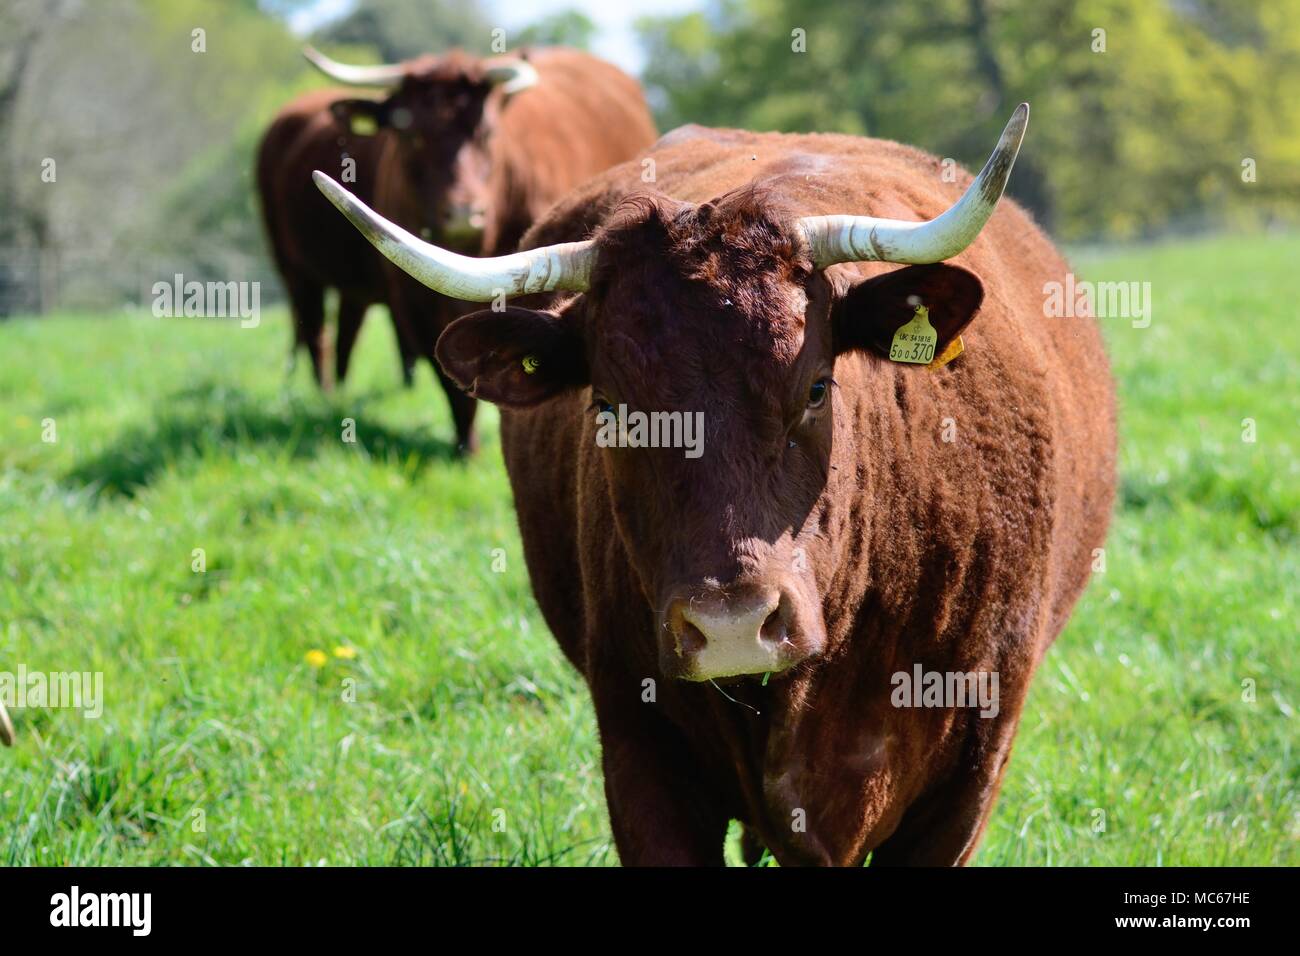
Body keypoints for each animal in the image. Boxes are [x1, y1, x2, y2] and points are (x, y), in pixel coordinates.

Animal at [299, 46, 658, 453]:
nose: (463, 214)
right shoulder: (414, 303)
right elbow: (452, 380)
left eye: (486, 133)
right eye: (409, 134)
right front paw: (465, 447)